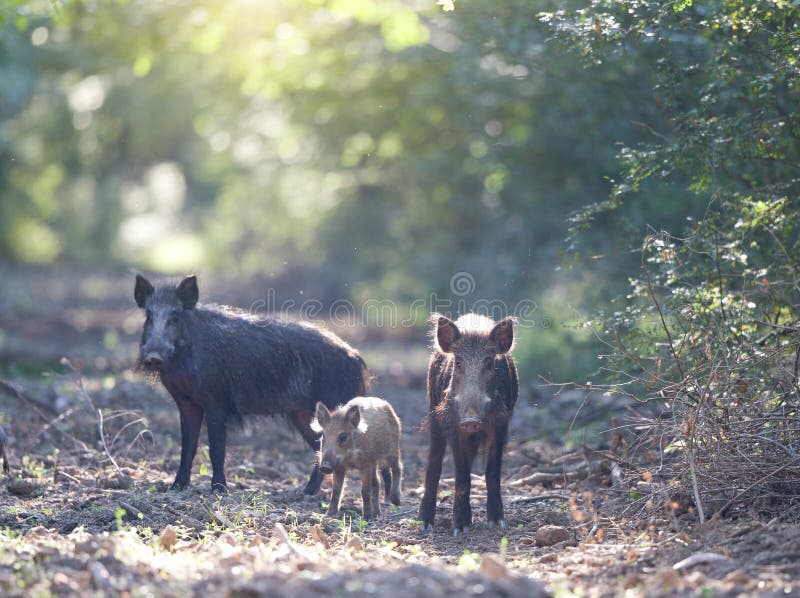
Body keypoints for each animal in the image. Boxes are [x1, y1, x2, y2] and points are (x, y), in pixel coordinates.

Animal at [134, 274, 370, 494]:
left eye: (175, 316)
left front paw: (219, 490)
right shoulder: (187, 403)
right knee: (320, 448)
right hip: (303, 414)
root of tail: (358, 358)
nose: (153, 357)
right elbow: (187, 447)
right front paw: (175, 488)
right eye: (148, 315)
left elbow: (216, 449)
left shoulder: (216, 403)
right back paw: (306, 492)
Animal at [418, 313, 518, 535]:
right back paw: (424, 524)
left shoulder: (501, 425)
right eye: (458, 362)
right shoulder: (453, 425)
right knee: (434, 462)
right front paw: (460, 529)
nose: (470, 420)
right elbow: (462, 474)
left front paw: (497, 523)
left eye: (489, 362)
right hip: (433, 413)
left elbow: (492, 471)